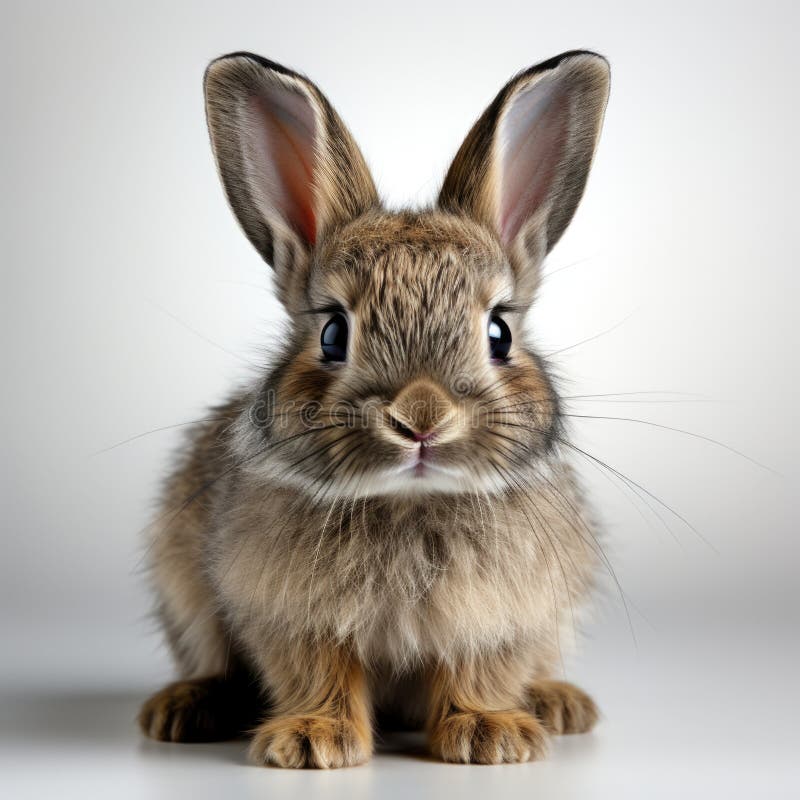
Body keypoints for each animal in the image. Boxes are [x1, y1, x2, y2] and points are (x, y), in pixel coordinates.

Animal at [138, 49, 610, 768]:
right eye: (334, 333)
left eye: (499, 333)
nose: (421, 418)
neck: (411, 499)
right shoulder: (291, 617)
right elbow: (319, 672)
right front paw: (311, 742)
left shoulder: (500, 619)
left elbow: (478, 670)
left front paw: (491, 736)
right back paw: (181, 709)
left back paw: (558, 704)